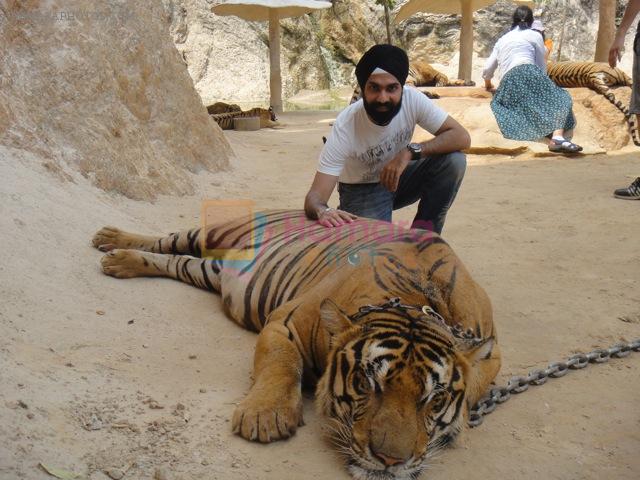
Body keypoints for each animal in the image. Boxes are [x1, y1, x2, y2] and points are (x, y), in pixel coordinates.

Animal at [91, 210, 500, 479]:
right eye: (367, 384)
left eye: (434, 400)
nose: (390, 460)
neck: (419, 301)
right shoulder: (285, 323)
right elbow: (281, 365)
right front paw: (265, 417)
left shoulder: (491, 353)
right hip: (210, 234)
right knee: (168, 240)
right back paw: (111, 244)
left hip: (208, 271)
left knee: (176, 262)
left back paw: (119, 259)